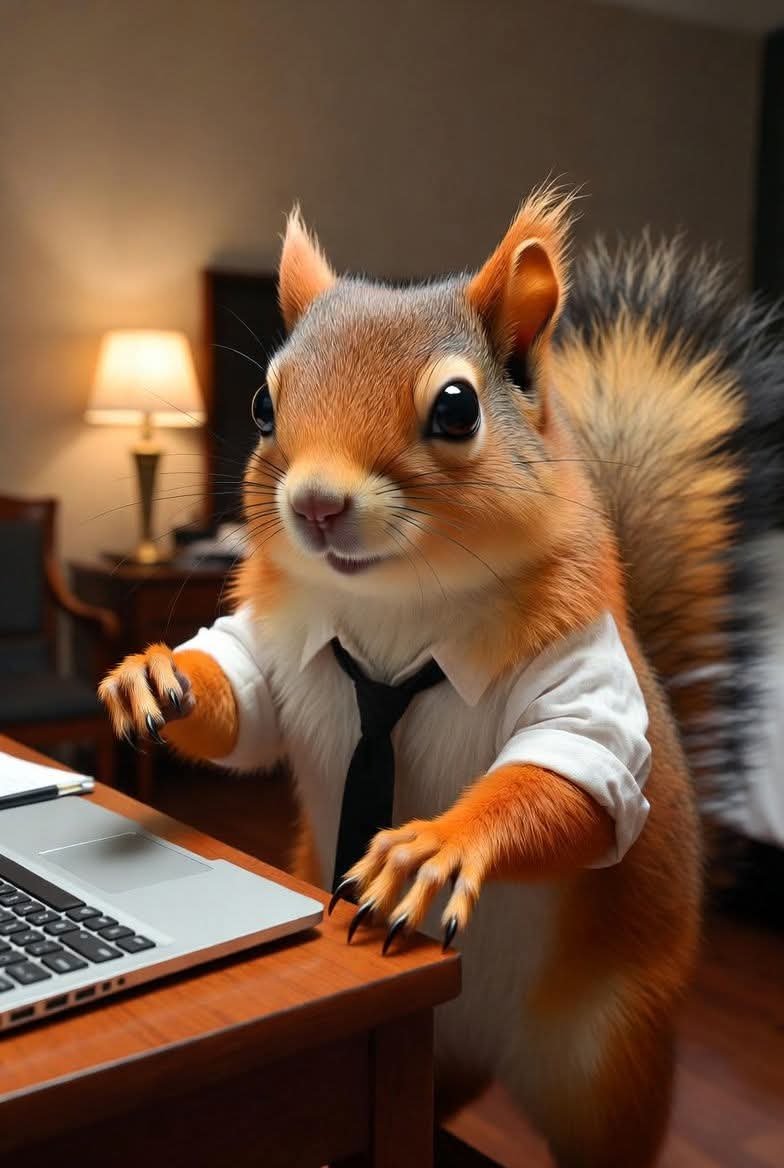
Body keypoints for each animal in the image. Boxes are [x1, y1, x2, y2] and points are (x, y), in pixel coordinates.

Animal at [98, 186, 784, 1168]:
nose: (315, 504)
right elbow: (241, 716)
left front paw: (437, 847)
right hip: (444, 1064)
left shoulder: (580, 681)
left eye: (458, 408)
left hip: (608, 1059)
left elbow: (561, 783)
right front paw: (154, 673)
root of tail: (489, 1050)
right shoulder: (277, 650)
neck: (394, 615)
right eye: (265, 403)